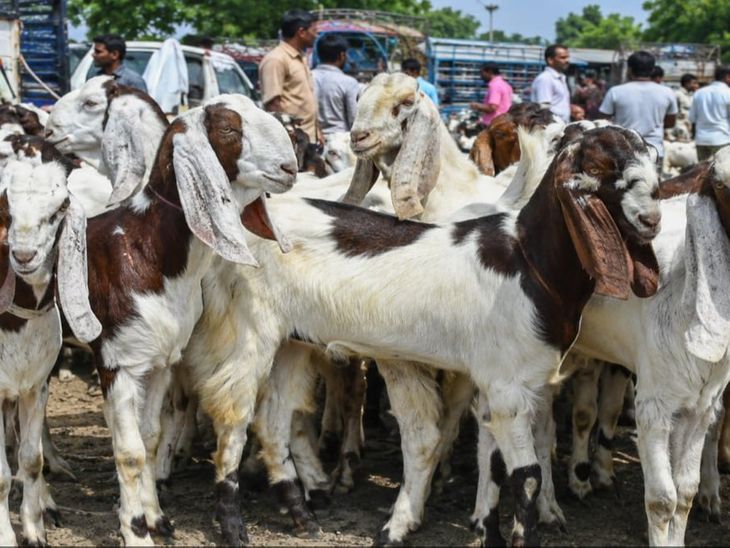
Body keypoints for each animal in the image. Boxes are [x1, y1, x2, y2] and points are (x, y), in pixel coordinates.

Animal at [0, 158, 99, 545]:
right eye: (6, 208)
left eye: (60, 208)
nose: (24, 256)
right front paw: (5, 537)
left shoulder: (36, 386)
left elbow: (30, 459)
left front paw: (33, 529)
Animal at [191, 126, 661, 545]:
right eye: (597, 165)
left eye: (652, 159)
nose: (651, 219)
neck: (527, 263)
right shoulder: (506, 385)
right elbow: (526, 476)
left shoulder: (504, 383)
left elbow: (493, 463)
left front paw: (486, 532)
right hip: (250, 326)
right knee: (234, 415)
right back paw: (233, 528)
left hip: (292, 340)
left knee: (272, 421)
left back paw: (301, 515)